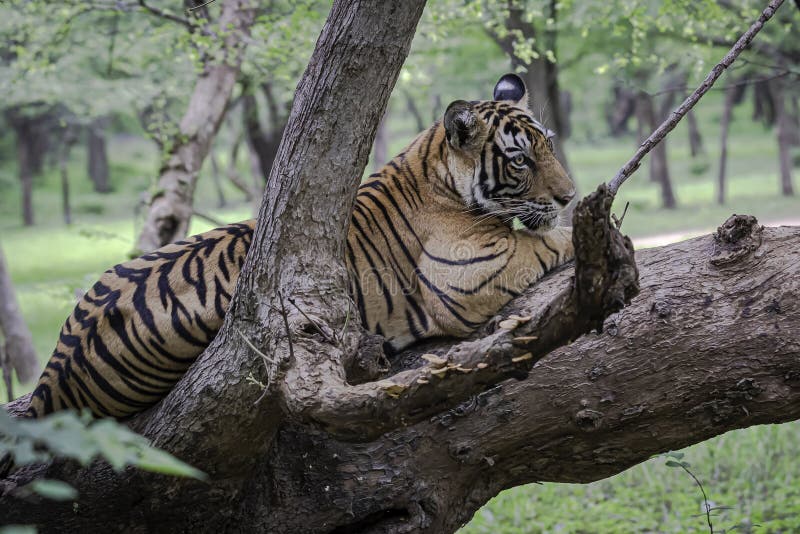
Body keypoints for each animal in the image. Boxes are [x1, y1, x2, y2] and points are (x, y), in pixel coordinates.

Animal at [19, 72, 575, 423]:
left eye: (549, 144)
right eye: (521, 160)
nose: (568, 194)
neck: (440, 172)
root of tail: (53, 377)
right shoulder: (470, 274)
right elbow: (548, 240)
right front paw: (581, 220)